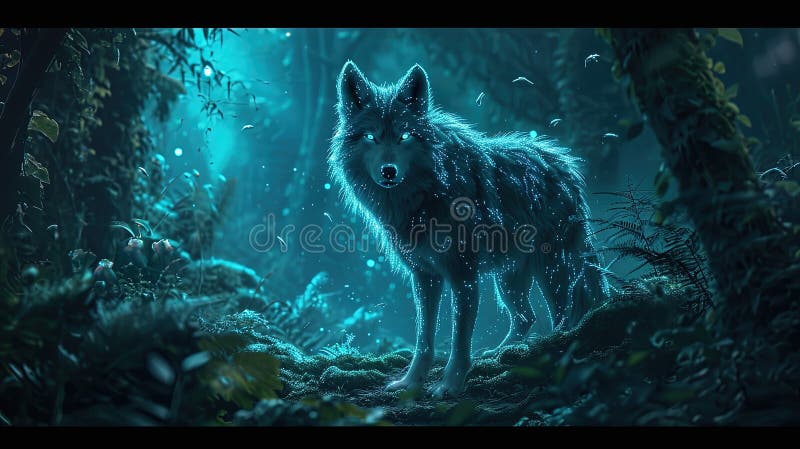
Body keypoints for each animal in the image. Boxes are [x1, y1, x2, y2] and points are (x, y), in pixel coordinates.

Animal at [329, 61, 609, 397]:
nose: (389, 171)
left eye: (404, 136)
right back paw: (502, 353)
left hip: (553, 271)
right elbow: (424, 338)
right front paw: (411, 382)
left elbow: (460, 339)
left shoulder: (463, 276)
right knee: (527, 316)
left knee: (565, 316)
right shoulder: (425, 277)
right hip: (509, 280)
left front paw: (450, 384)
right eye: (371, 137)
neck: (426, 195)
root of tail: (567, 168)